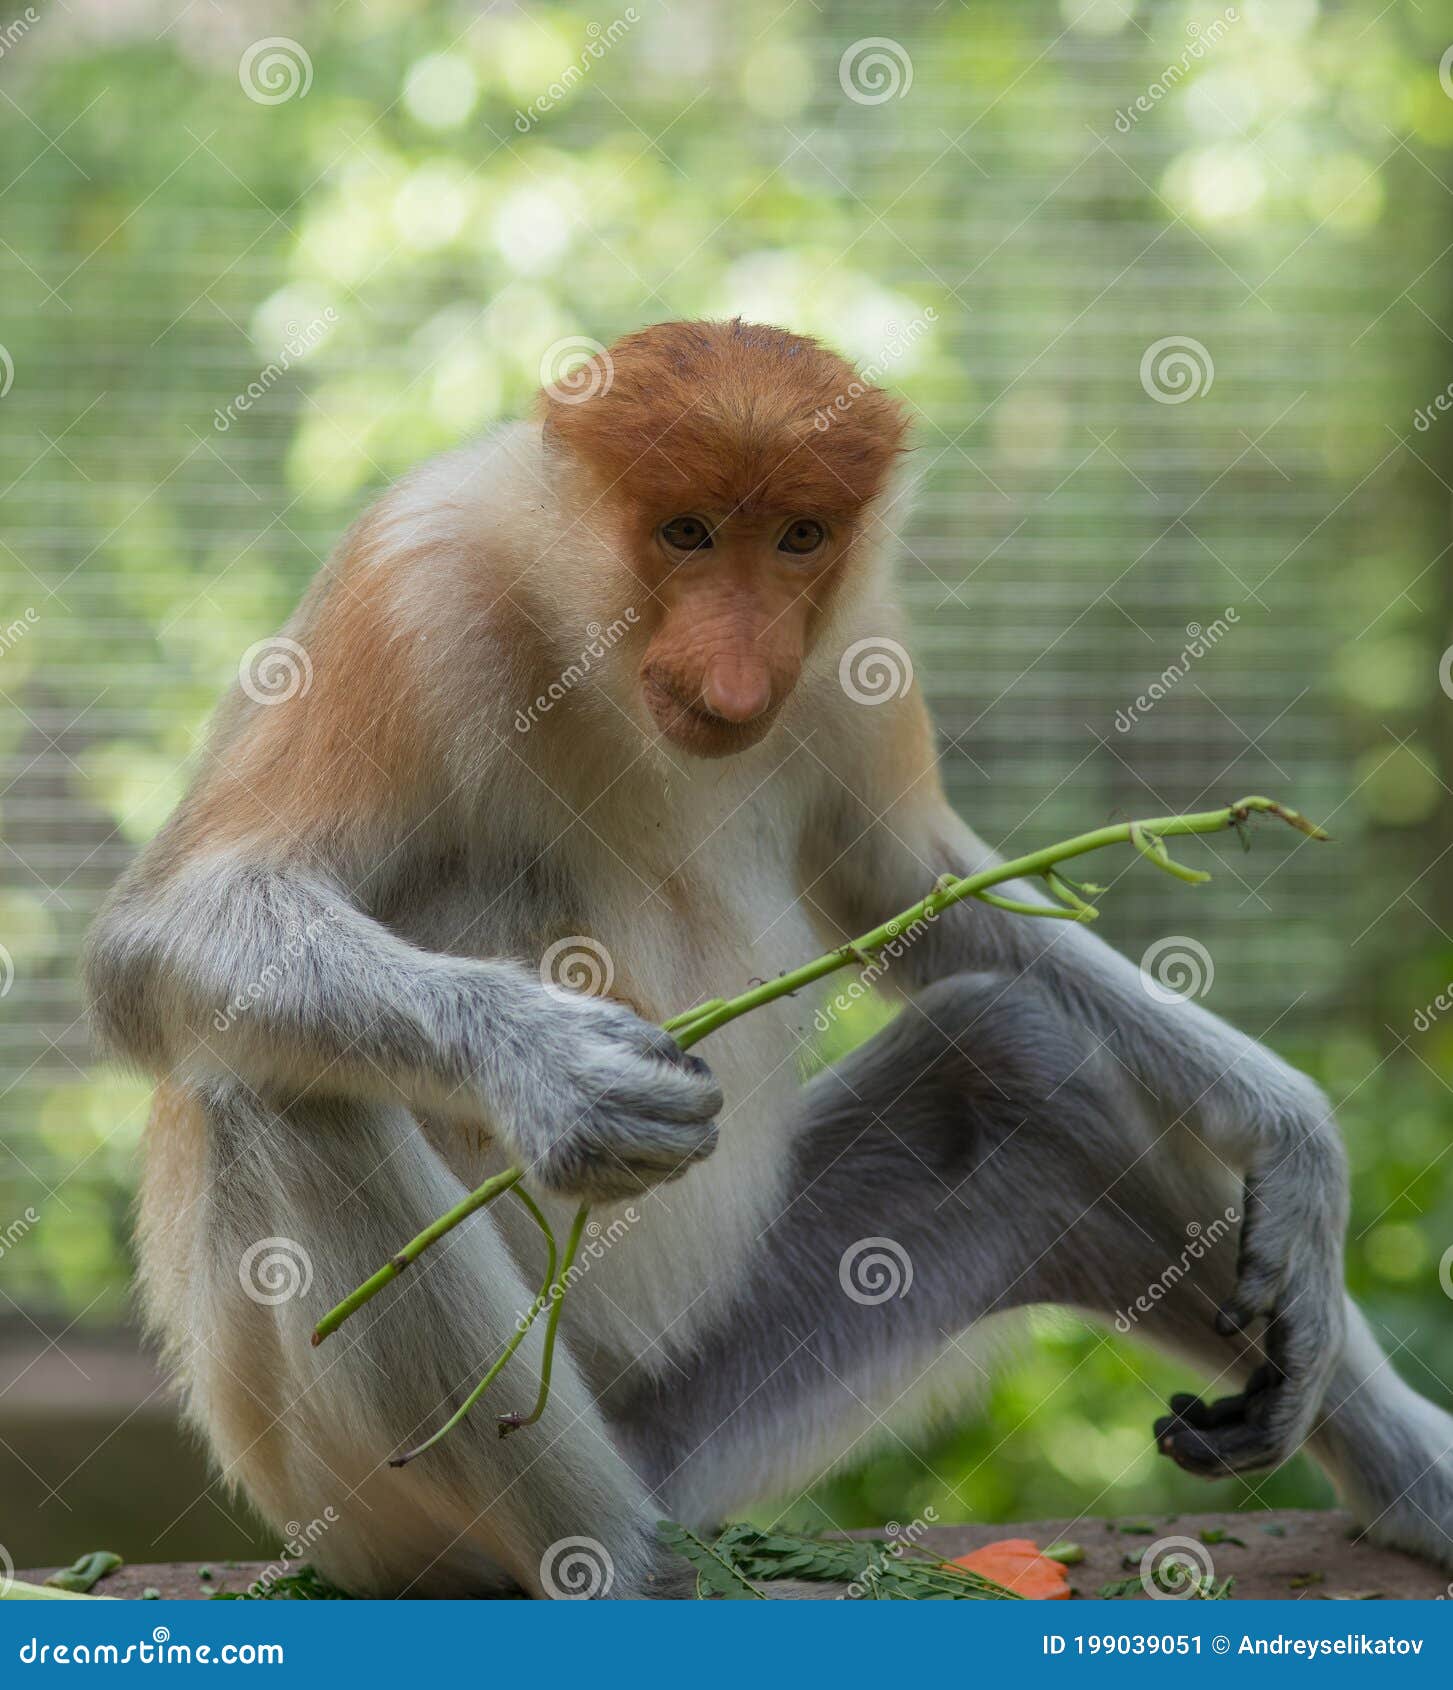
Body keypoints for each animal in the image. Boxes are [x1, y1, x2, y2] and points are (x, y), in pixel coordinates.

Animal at [84, 319, 1453, 1597]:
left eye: (799, 536)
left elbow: (907, 887)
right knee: (285, 1094)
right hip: (366, 1504)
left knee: (1016, 1064)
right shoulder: (410, 595)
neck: (576, 626)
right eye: (686, 532)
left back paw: (1395, 1463)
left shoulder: (853, 650)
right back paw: (621, 1562)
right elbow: (158, 936)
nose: (741, 672)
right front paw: (563, 1075)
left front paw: (1289, 1140)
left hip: (698, 1404)